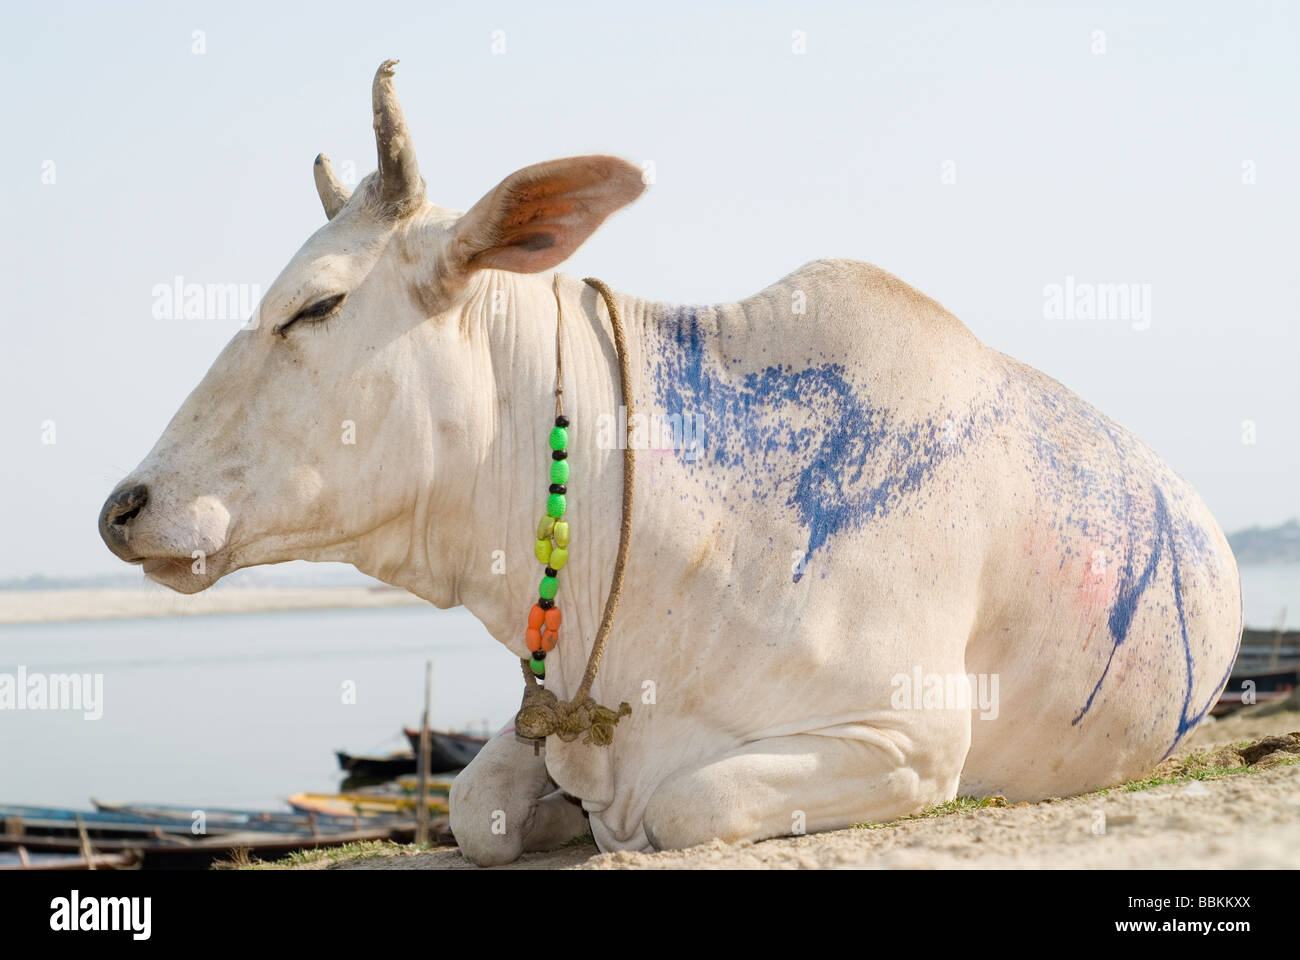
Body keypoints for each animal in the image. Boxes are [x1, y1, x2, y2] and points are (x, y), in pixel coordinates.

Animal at [99, 61, 1241, 865]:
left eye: (318, 305)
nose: (125, 506)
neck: (677, 526)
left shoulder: (905, 737)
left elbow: (690, 802)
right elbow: (474, 808)